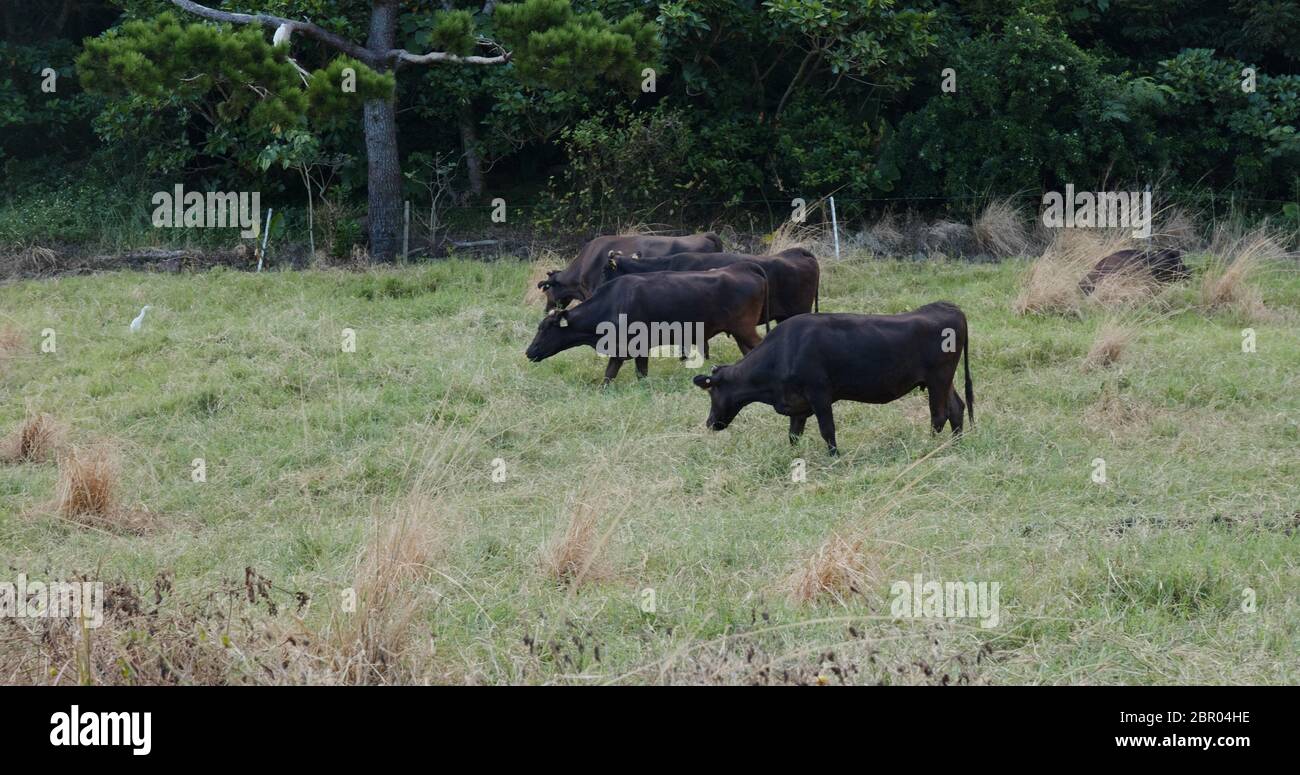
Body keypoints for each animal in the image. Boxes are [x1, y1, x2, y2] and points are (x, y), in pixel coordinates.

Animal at [526, 262, 769, 385]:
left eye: (545, 329)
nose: (529, 351)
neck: (613, 302)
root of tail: (744, 267)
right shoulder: (630, 350)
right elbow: (618, 374)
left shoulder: (633, 346)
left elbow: (622, 373)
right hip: (739, 332)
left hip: (744, 329)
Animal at [691, 303, 973, 456]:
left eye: (712, 392)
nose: (709, 423)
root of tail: (946, 306)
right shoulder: (797, 403)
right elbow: (793, 434)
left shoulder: (819, 394)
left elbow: (827, 430)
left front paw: (835, 457)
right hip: (944, 380)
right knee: (956, 408)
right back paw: (956, 444)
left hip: (938, 378)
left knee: (939, 414)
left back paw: (930, 447)